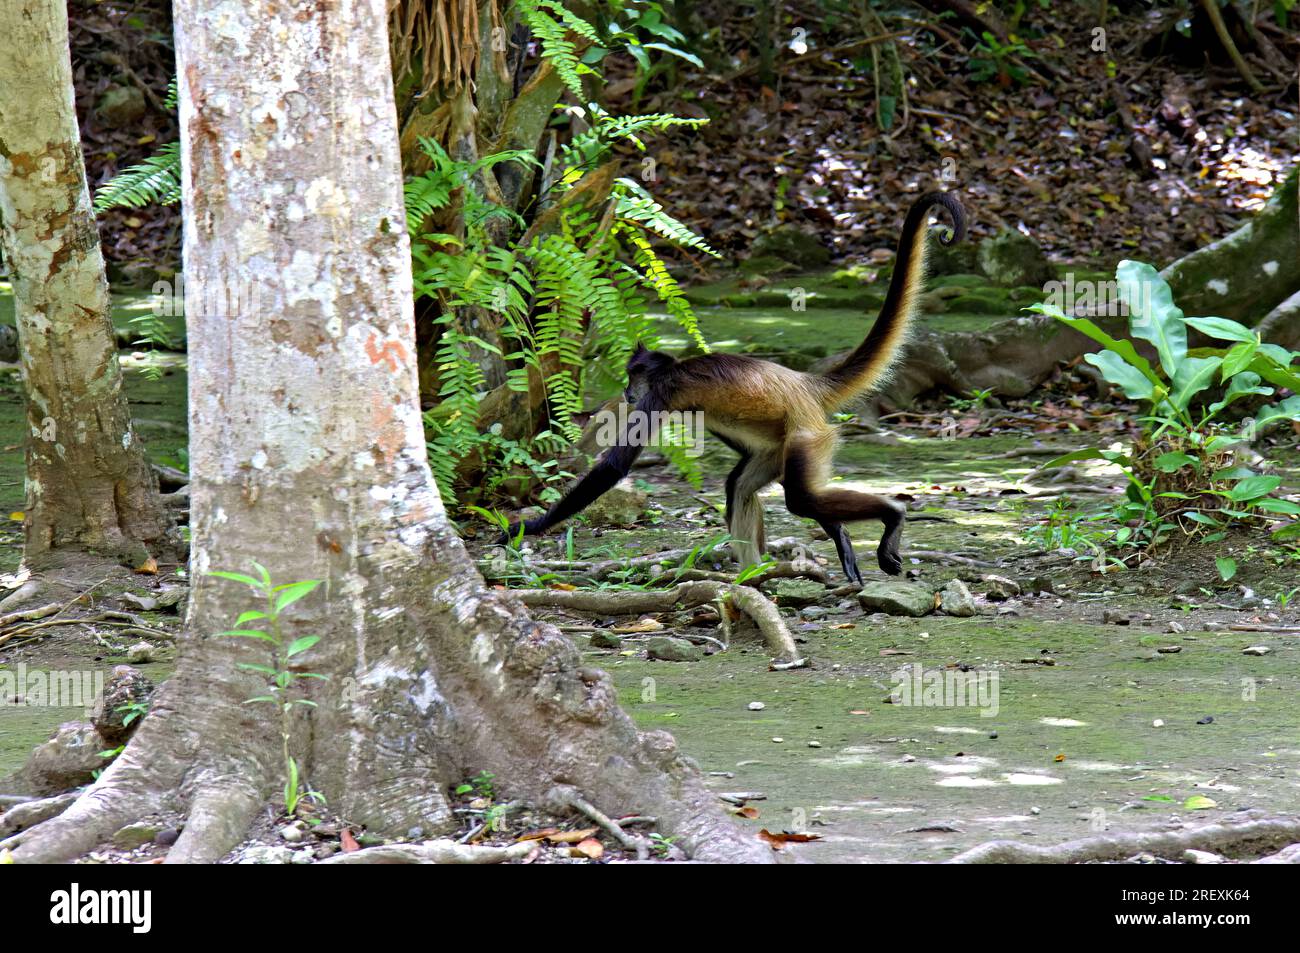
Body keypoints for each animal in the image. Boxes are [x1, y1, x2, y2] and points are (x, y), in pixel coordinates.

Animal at [502, 192, 966, 584]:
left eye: (633, 378)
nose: (626, 393)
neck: (675, 368)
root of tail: (806, 383)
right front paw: (836, 531)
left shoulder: (661, 394)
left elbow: (614, 468)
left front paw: (529, 525)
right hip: (780, 444)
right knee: (741, 485)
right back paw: (755, 575)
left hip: (807, 435)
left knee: (800, 497)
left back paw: (892, 515)